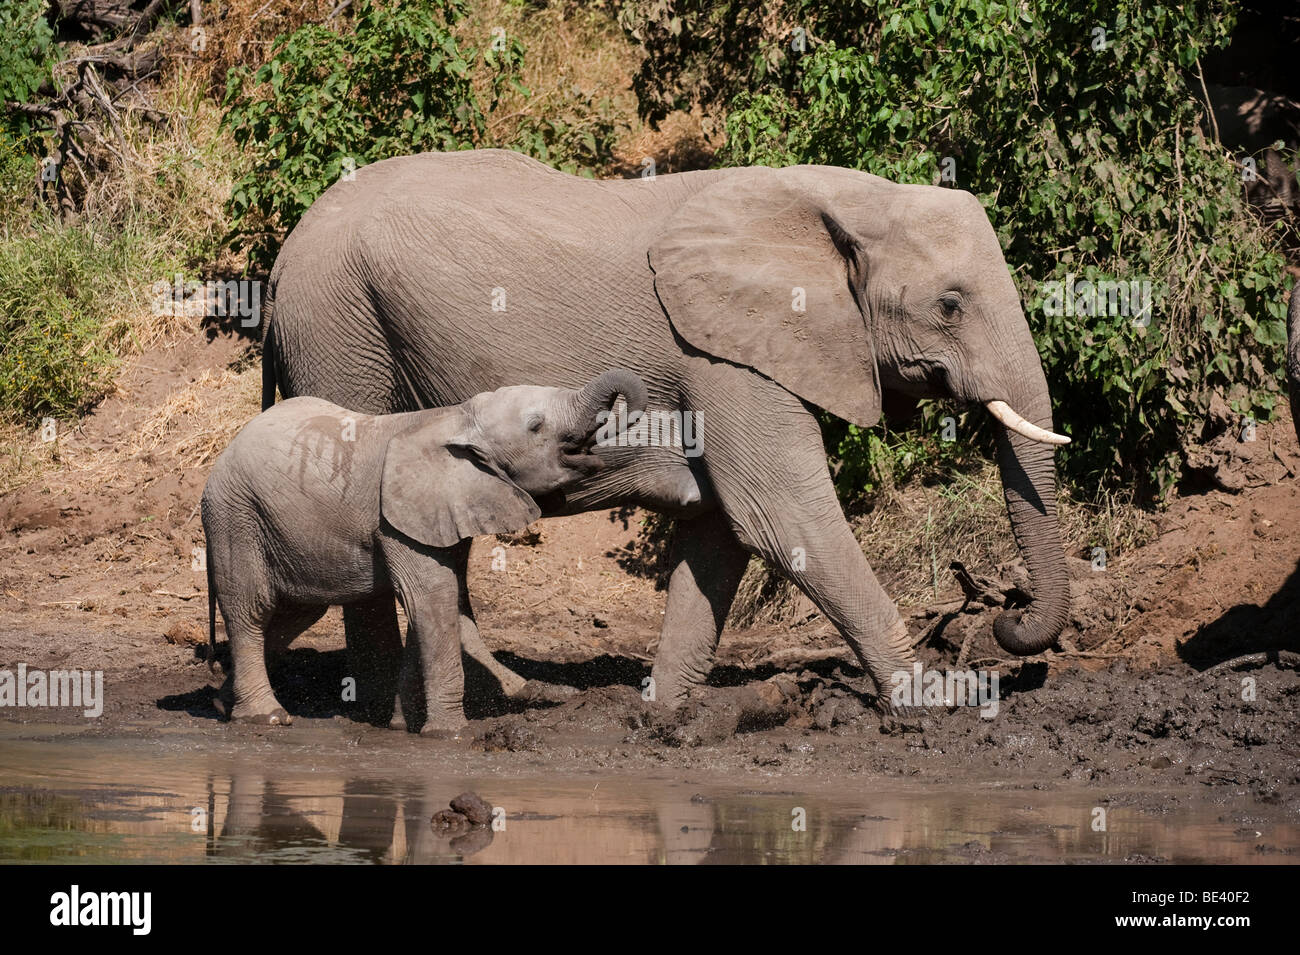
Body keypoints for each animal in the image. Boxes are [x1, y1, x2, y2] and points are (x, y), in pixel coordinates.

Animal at [201, 368, 647, 731]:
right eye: (536, 426)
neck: (457, 416)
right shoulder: (399, 520)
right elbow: (433, 600)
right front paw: (449, 734)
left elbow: (442, 605)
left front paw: (403, 725)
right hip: (236, 517)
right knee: (251, 609)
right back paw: (266, 717)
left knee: (296, 614)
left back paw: (224, 705)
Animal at [261, 148, 1072, 707]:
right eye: (950, 305)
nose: (1006, 618)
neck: (836, 197)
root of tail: (277, 265)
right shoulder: (721, 353)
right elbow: (781, 514)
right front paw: (934, 705)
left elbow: (722, 529)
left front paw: (666, 712)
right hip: (340, 325)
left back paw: (515, 695)